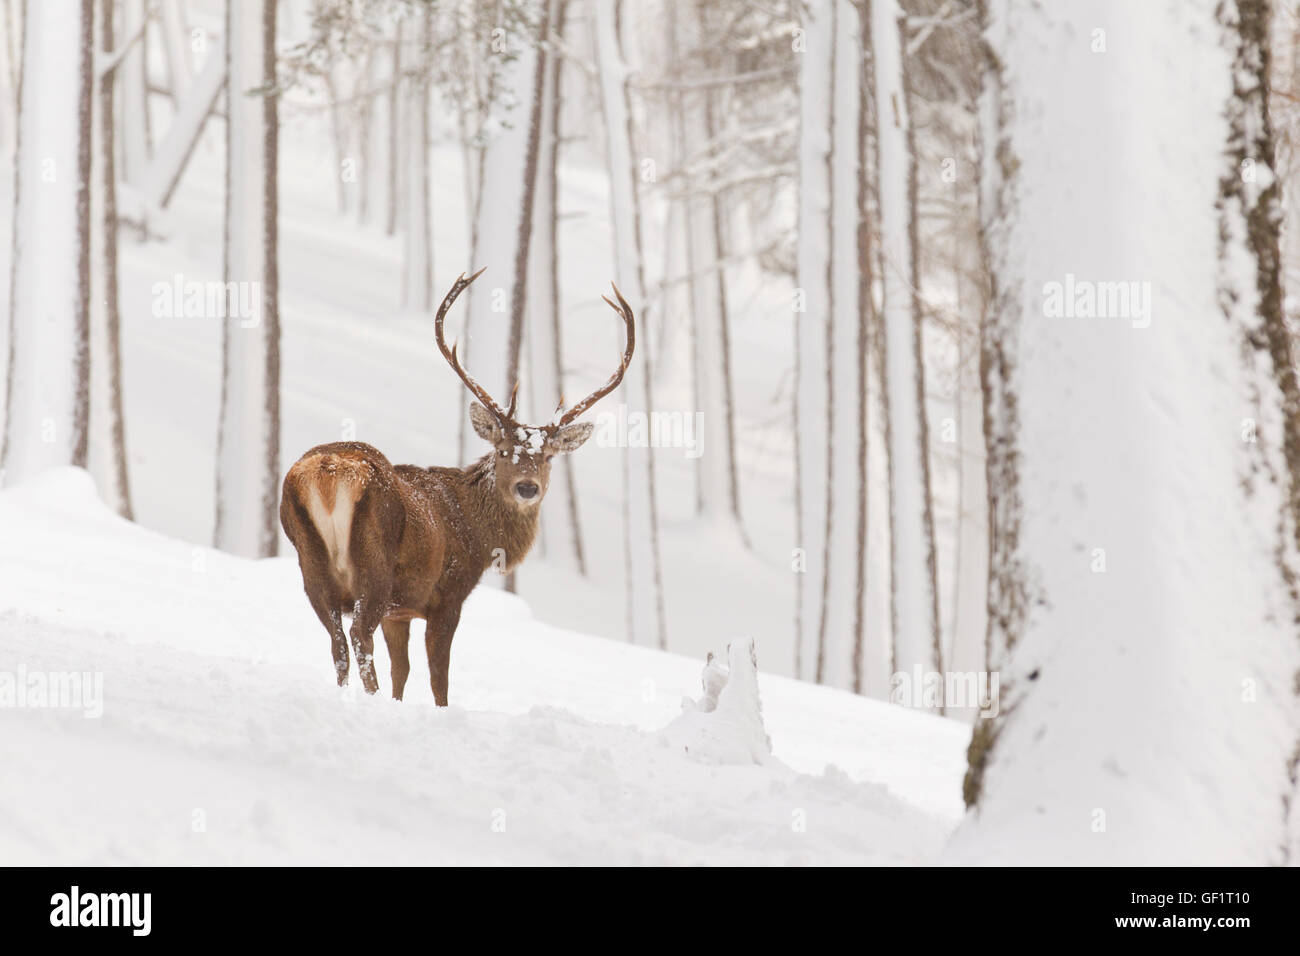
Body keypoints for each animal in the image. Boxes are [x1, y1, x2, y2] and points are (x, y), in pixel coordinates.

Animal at [279, 270, 633, 705]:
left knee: (338, 643)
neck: (480, 534)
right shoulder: (448, 592)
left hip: (311, 565)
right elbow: (438, 678)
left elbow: (402, 671)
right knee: (360, 637)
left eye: (549, 456)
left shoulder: (400, 611)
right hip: (373, 567)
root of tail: (328, 471)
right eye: (502, 450)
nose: (527, 487)